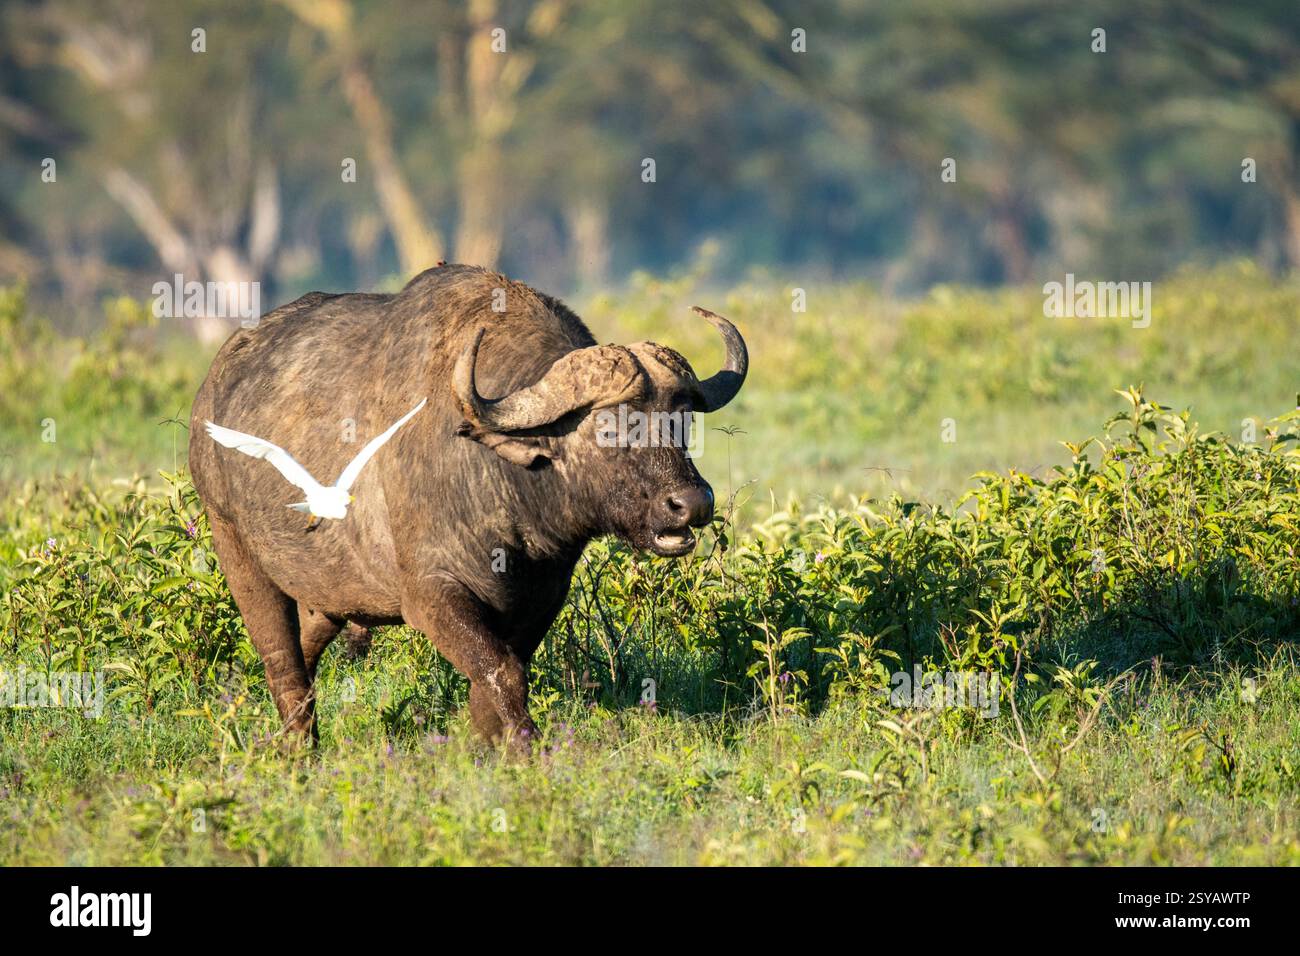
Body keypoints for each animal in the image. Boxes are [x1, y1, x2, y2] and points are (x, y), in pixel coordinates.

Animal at [188, 264, 747, 749]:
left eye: (681, 420)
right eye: (609, 425)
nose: (690, 504)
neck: (502, 482)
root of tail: (210, 392)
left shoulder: (542, 598)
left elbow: (498, 677)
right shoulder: (433, 595)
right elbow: (501, 671)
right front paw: (527, 750)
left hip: (331, 591)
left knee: (304, 648)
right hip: (236, 551)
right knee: (281, 661)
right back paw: (298, 748)